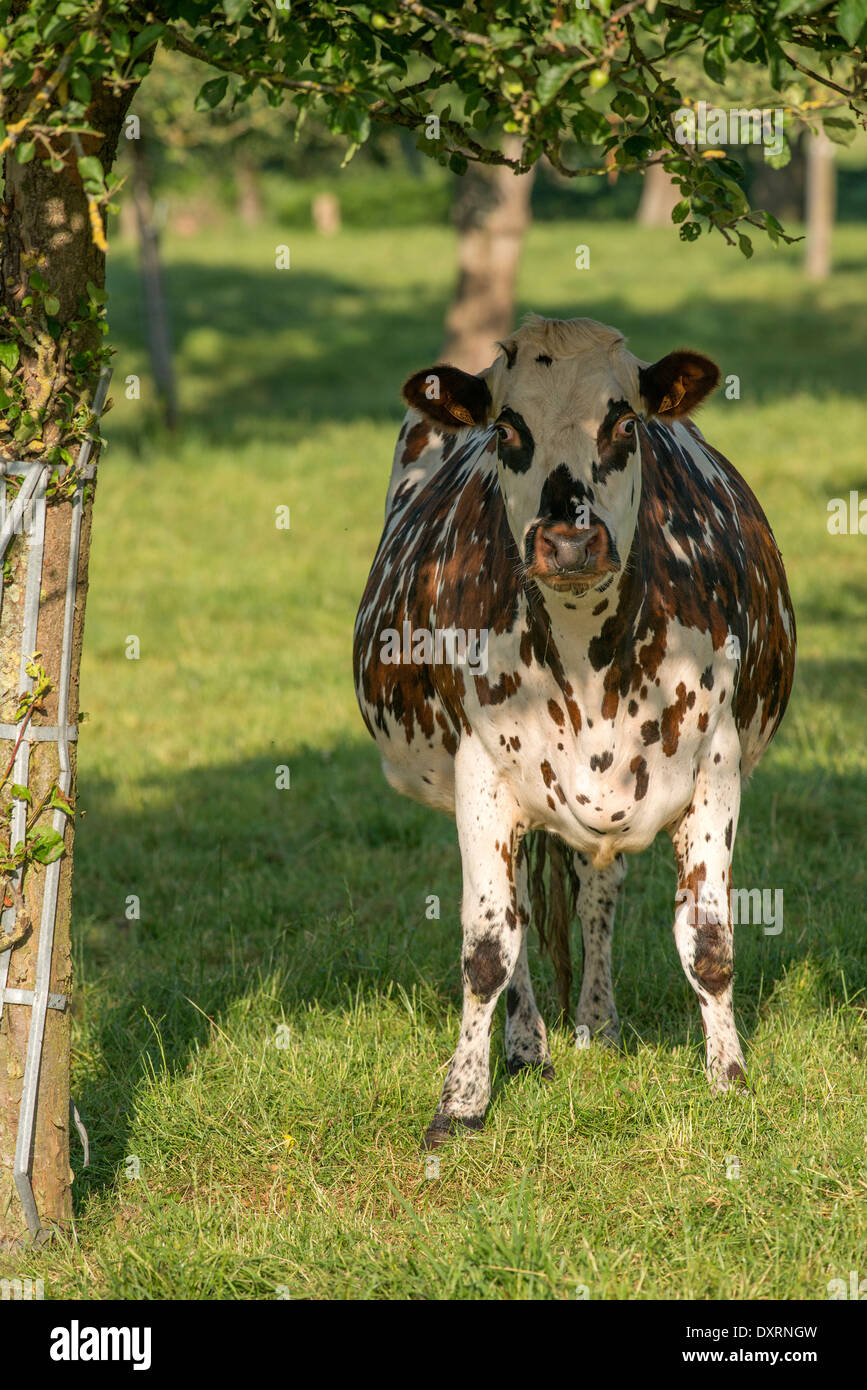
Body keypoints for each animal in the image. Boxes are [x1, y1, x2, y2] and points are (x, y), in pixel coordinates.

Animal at [353, 315, 796, 1150]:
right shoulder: (481, 775)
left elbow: (708, 944)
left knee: (596, 896)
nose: (565, 543)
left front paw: (728, 1079)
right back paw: (528, 1047)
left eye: (623, 422)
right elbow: (487, 952)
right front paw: (460, 1103)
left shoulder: (715, 766)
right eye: (505, 427)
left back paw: (595, 1024)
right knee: (518, 921)